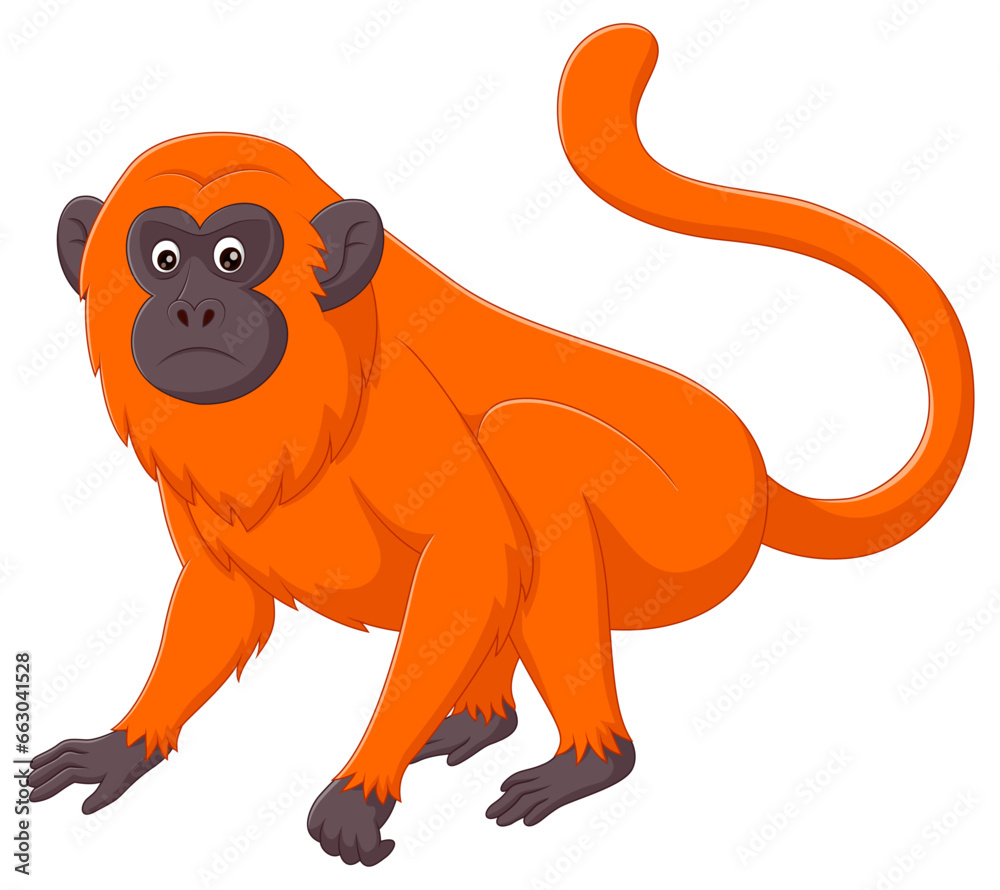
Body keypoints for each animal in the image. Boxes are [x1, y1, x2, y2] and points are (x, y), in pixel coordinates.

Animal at [30, 24, 973, 867]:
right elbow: (225, 595)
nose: (194, 311)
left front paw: (361, 785)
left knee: (526, 443)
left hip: (694, 532)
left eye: (232, 256)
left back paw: (591, 757)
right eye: (159, 257)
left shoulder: (399, 402)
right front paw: (127, 742)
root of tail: (747, 464)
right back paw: (481, 720)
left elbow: (472, 548)